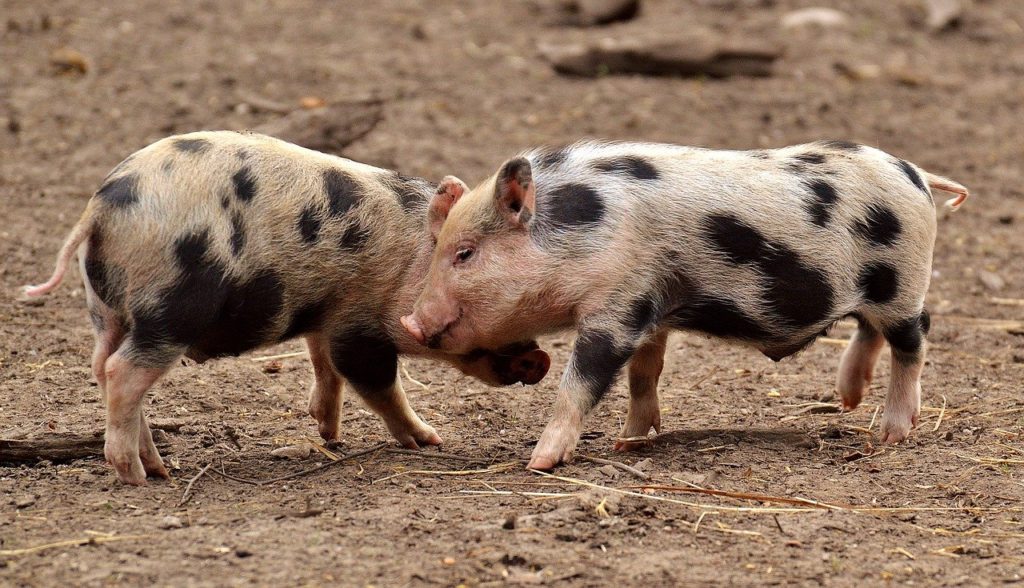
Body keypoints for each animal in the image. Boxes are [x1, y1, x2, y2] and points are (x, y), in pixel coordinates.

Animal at [24, 131, 550, 485]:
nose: (539, 359)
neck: (409, 262)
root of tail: (101, 208)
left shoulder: (328, 315)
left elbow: (324, 366)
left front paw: (330, 435)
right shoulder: (359, 324)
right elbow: (375, 382)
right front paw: (431, 440)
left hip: (107, 309)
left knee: (104, 368)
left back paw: (158, 468)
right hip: (171, 308)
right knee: (123, 372)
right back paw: (137, 477)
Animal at [401, 140, 969, 470]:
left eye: (465, 253)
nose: (410, 321)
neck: (583, 231)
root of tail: (917, 173)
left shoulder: (616, 307)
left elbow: (581, 382)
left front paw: (539, 463)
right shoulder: (650, 309)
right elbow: (643, 374)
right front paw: (628, 442)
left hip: (902, 281)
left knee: (915, 338)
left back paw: (891, 435)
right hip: (873, 289)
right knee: (870, 330)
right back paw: (848, 397)